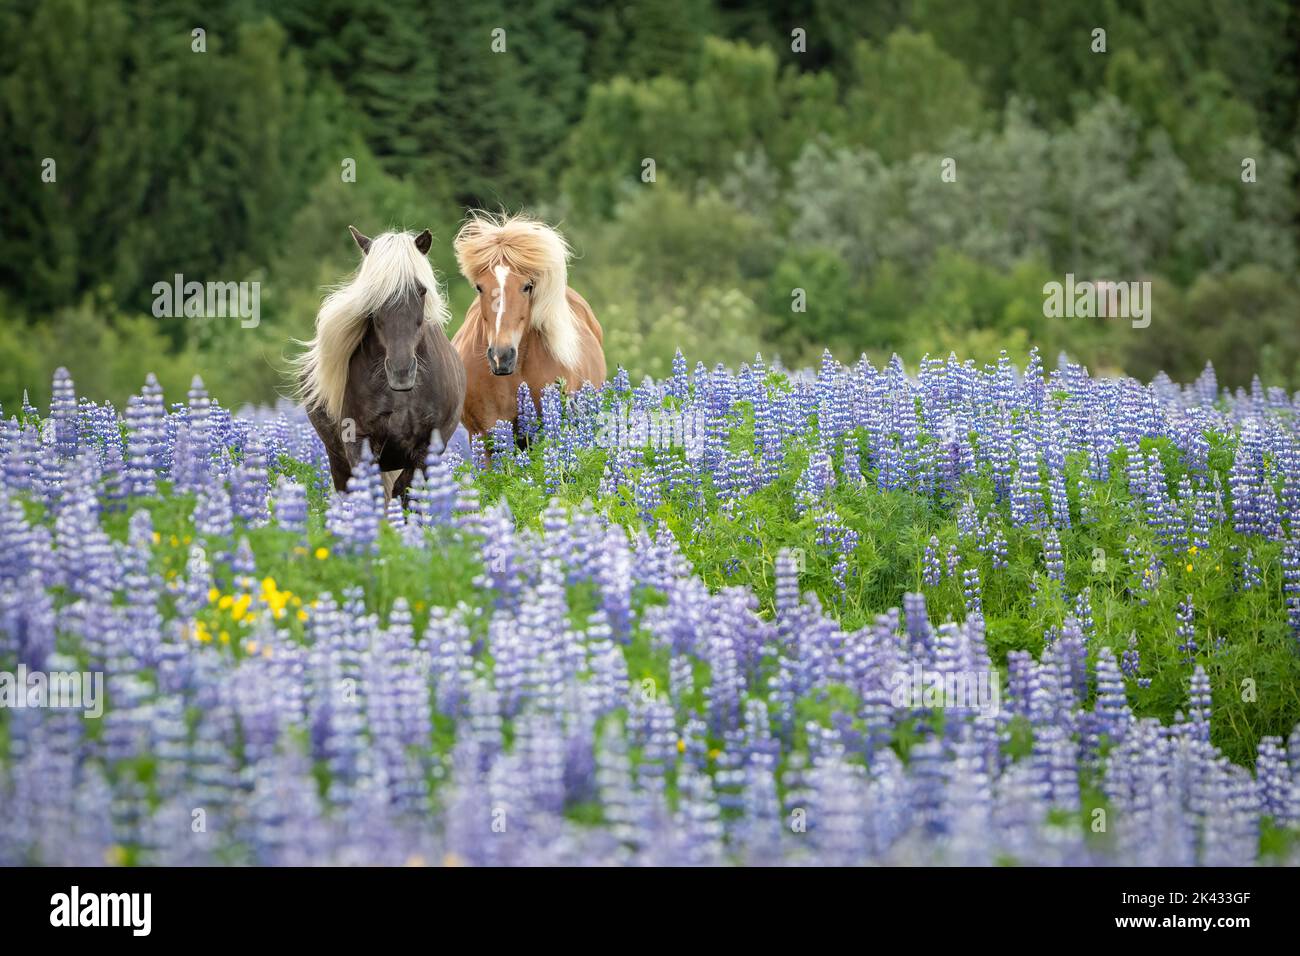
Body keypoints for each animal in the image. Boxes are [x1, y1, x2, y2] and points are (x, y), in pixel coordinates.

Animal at [293, 226, 465, 501]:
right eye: (373, 296)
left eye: (422, 290)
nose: (401, 371)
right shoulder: (358, 440)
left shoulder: (428, 445)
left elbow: (406, 489)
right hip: (336, 457)